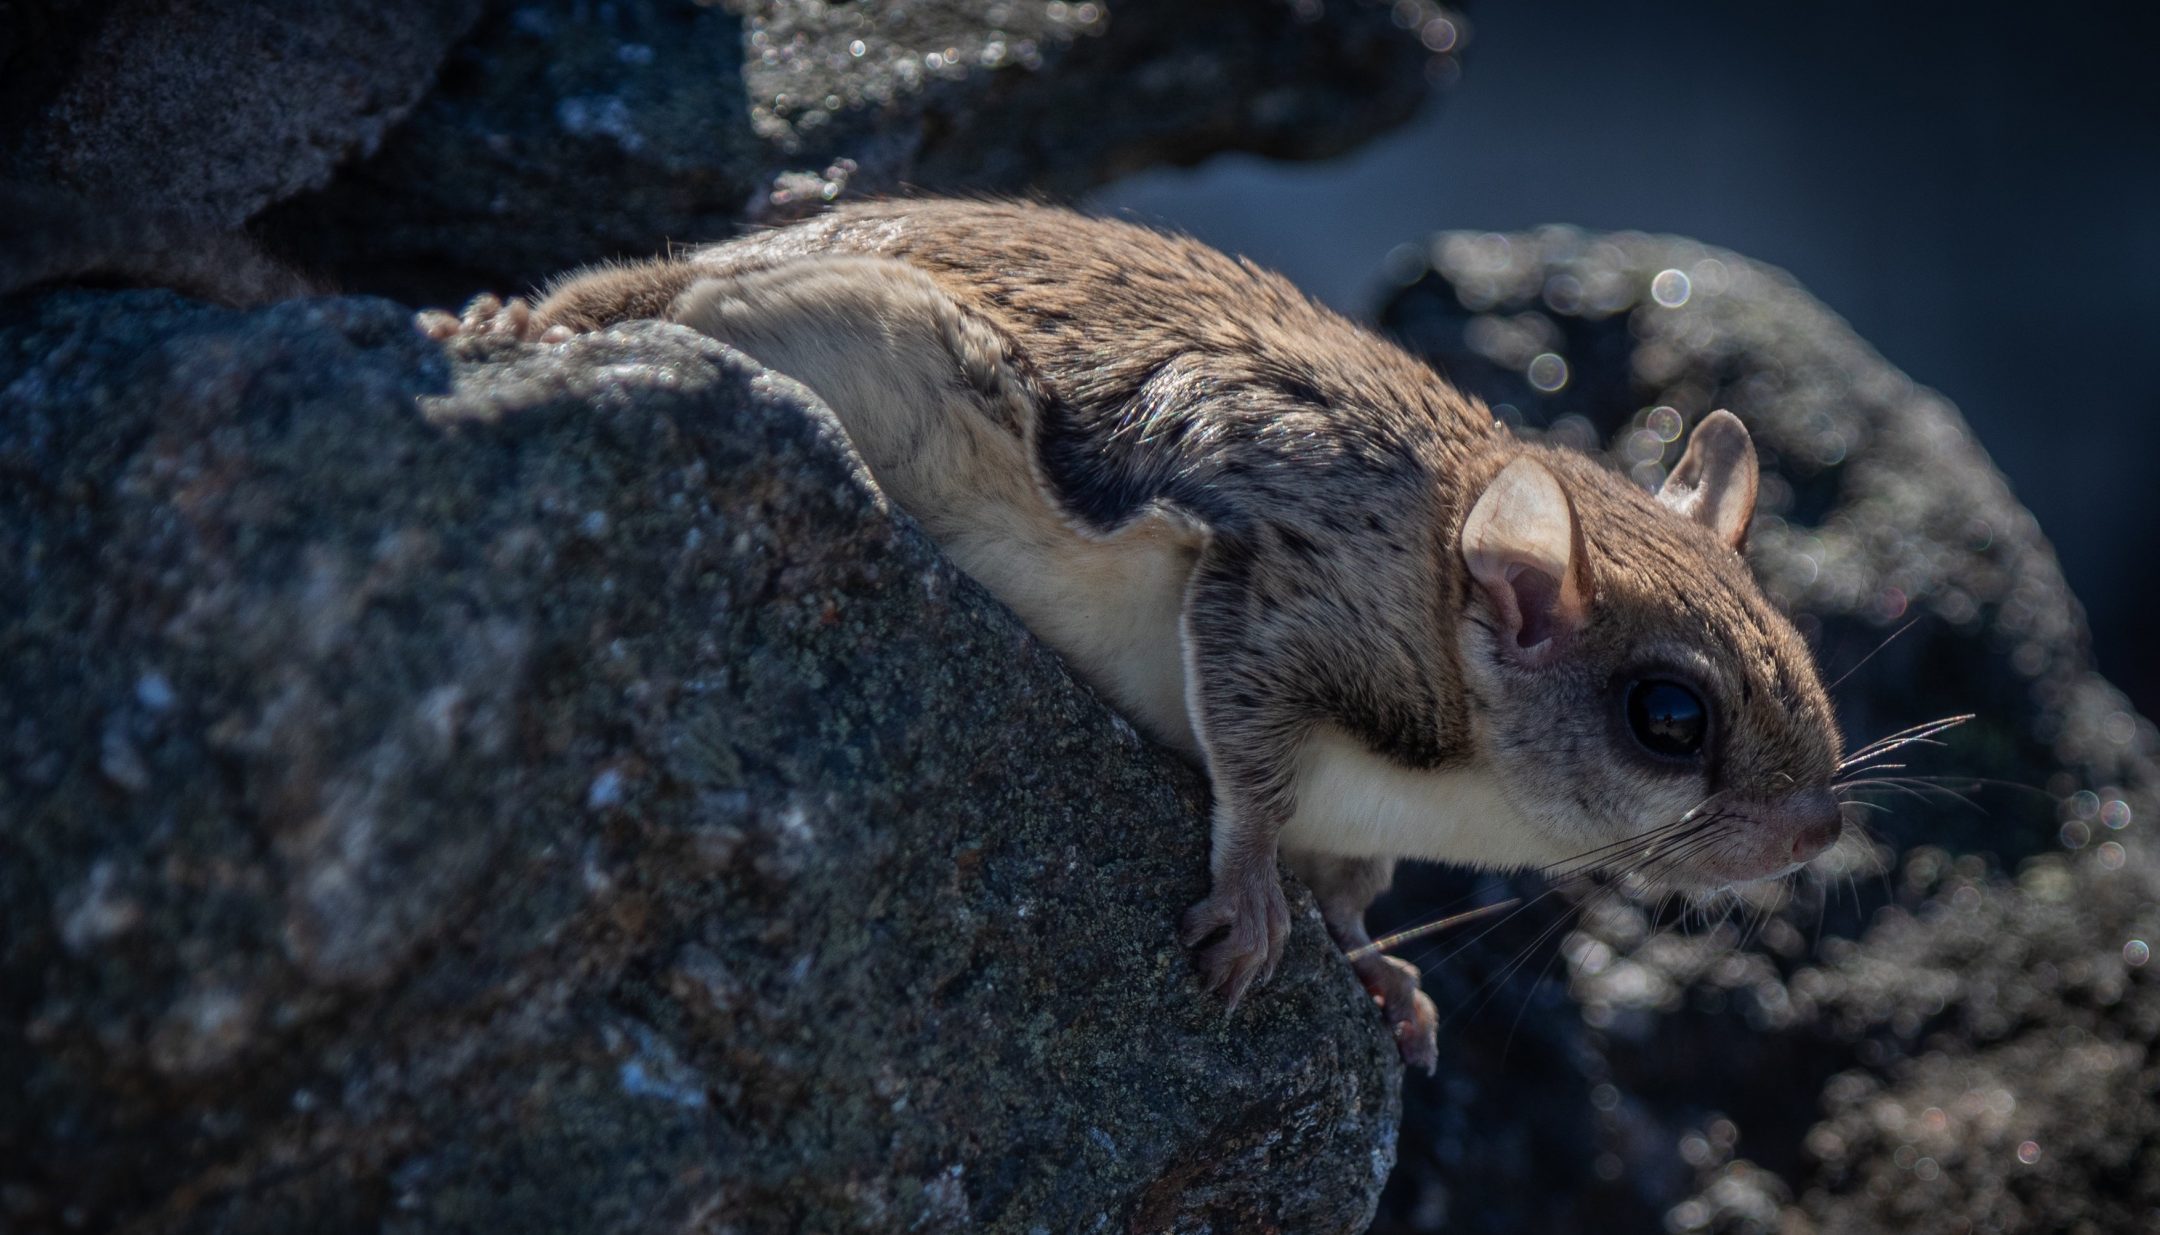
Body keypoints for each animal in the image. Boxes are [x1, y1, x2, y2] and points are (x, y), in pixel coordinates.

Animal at [422, 200, 1838, 1071]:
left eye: (1805, 657)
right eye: (1670, 716)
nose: (1819, 832)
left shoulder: (1359, 810)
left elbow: (1351, 891)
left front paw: (1379, 974)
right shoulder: (1279, 586)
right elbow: (1253, 763)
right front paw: (1254, 900)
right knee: (619, 299)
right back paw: (509, 325)